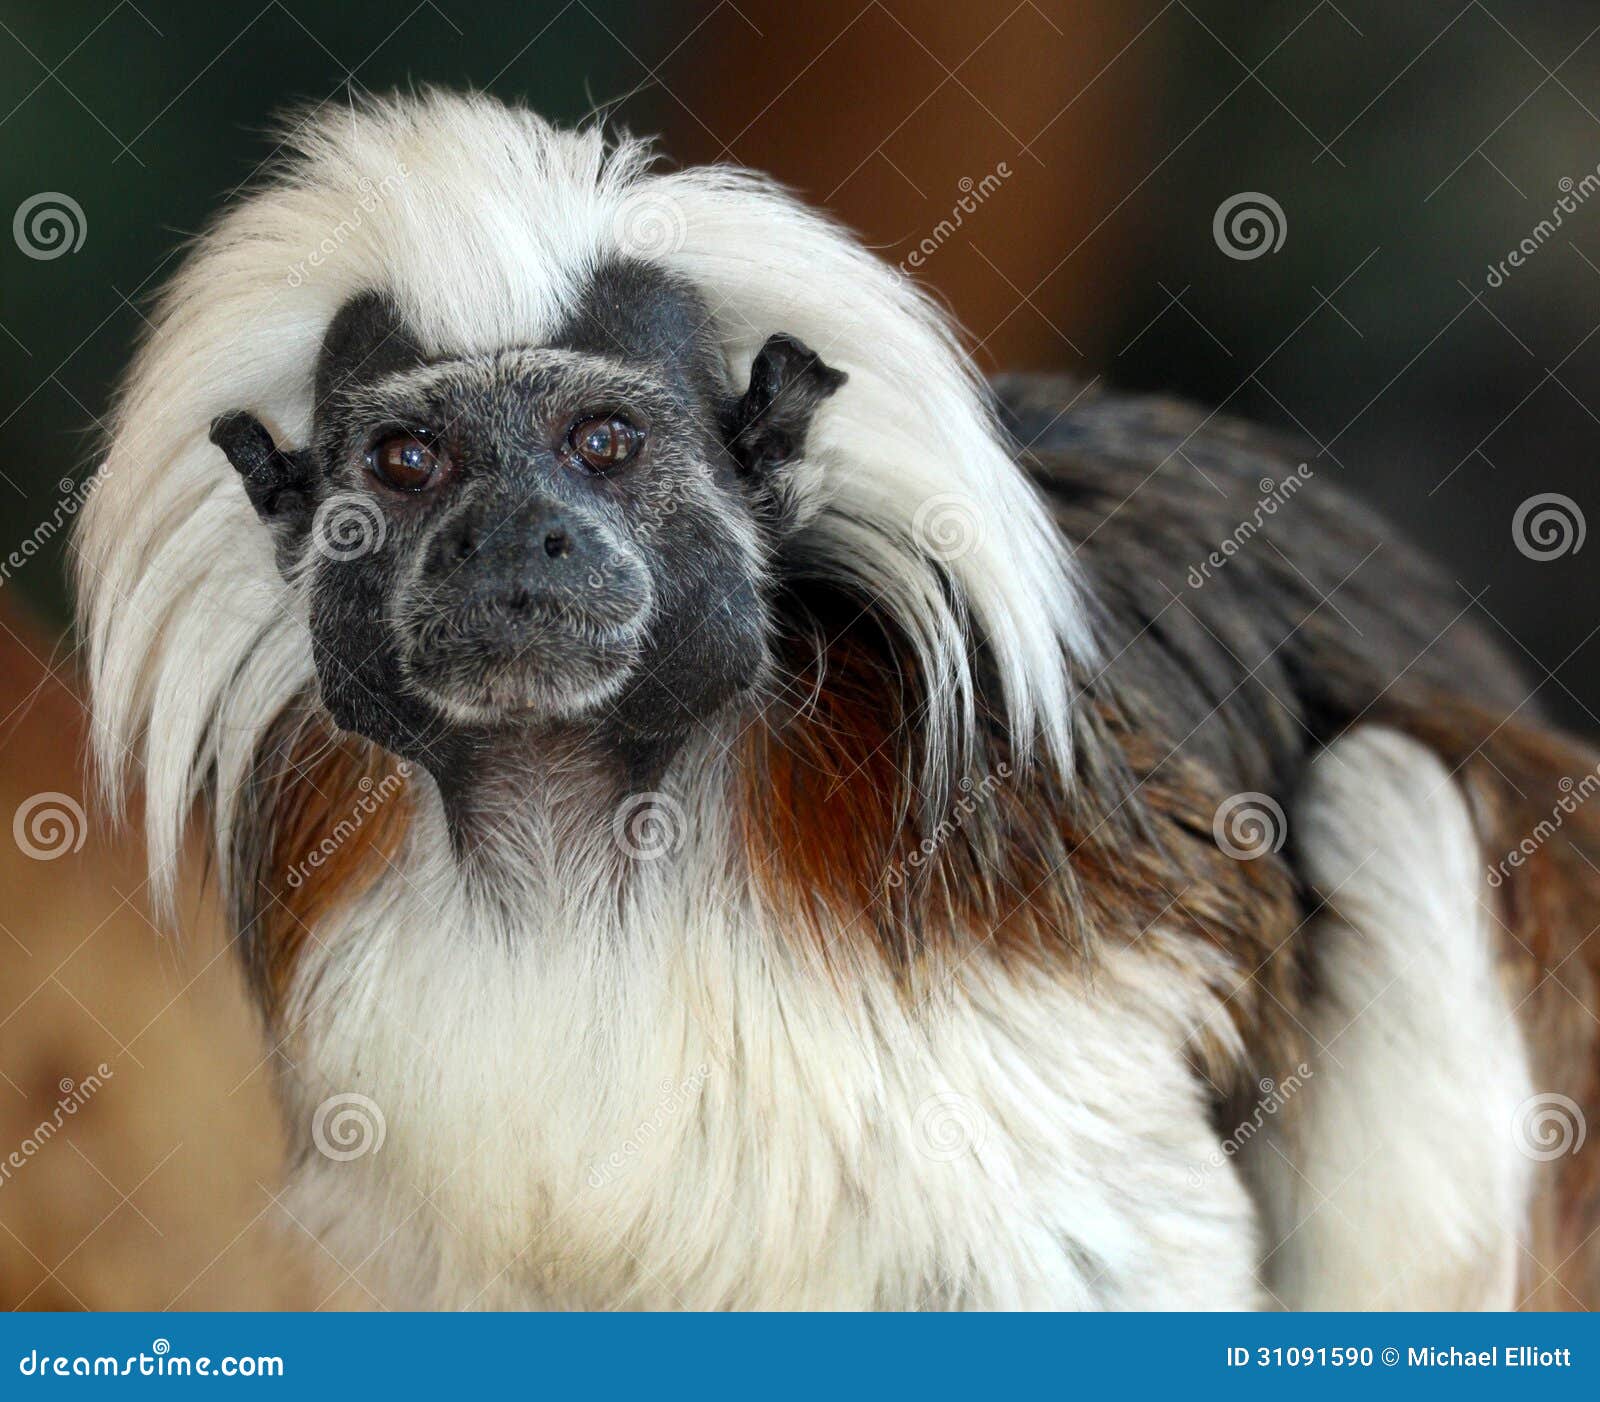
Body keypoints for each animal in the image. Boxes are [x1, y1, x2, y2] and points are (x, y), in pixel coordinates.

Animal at [77, 90, 1599, 1309]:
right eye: (408, 463)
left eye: (602, 442)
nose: (514, 538)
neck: (587, 847)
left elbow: (1120, 1245)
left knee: (1394, 792)